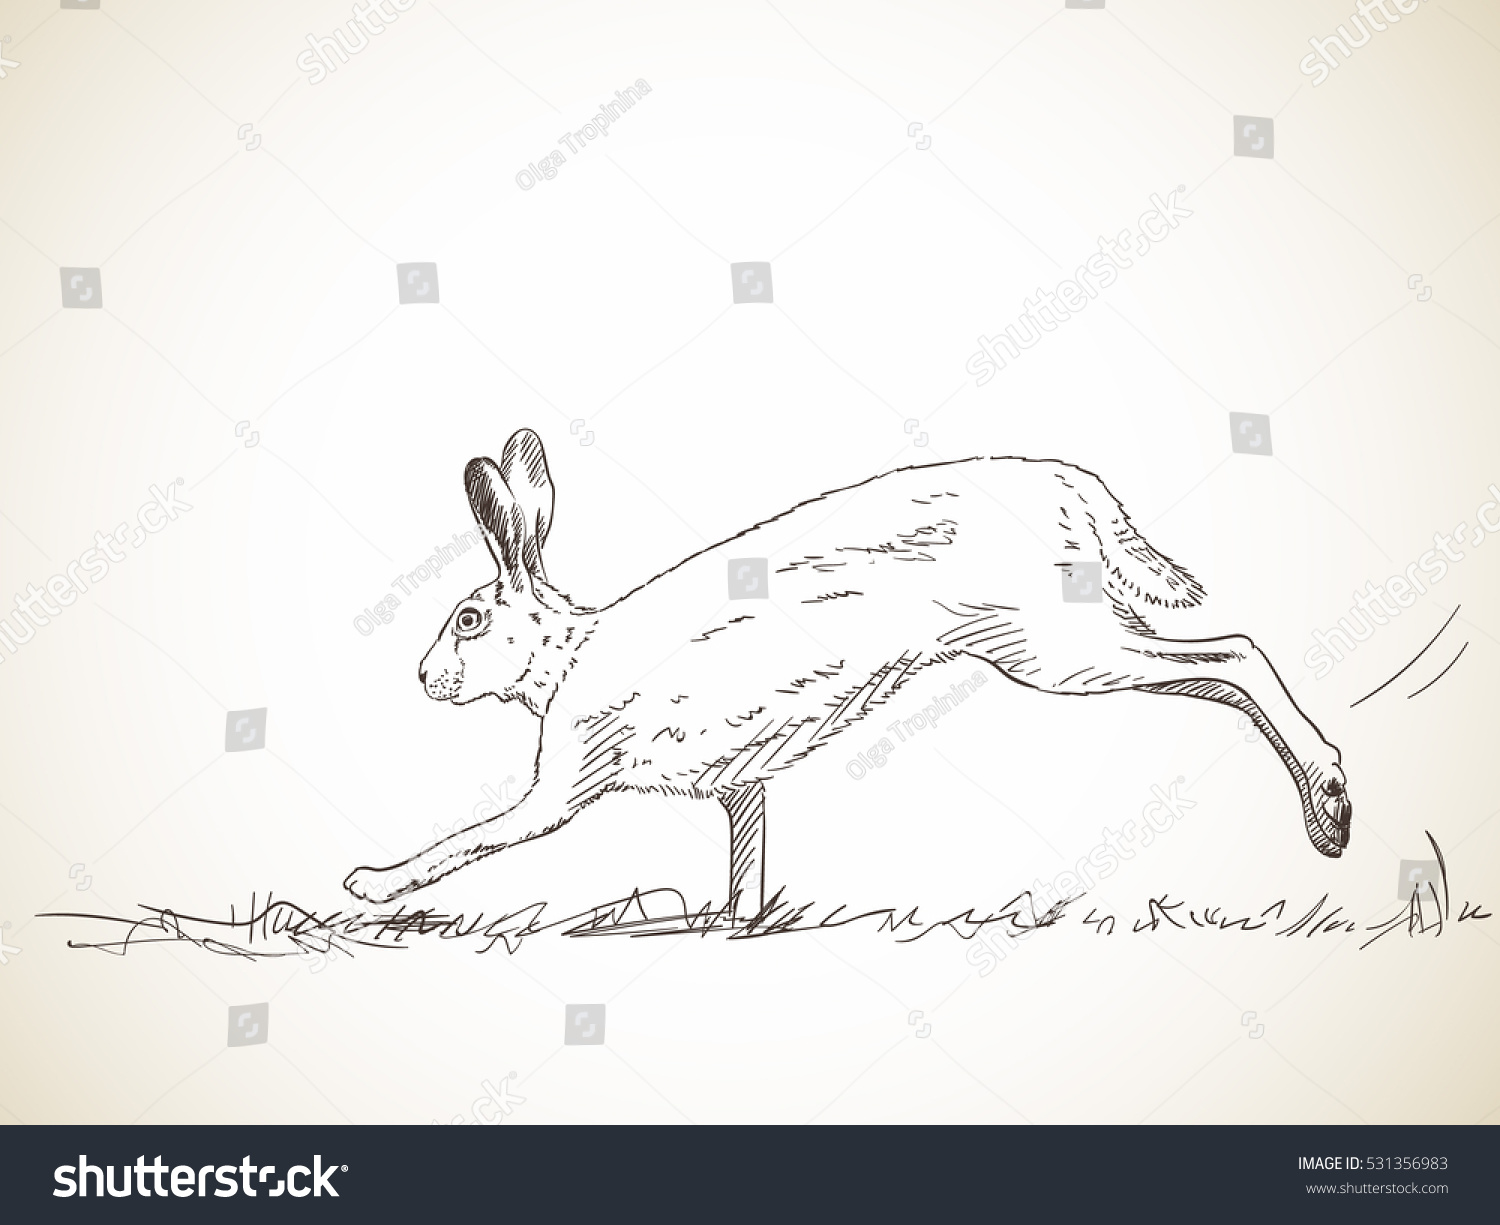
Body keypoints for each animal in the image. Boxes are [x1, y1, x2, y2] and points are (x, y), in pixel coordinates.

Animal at [343, 429, 1352, 909]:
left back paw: (1331, 809)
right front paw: (734, 925)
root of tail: (1080, 493)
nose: (423, 679)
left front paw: (371, 885)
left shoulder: (562, 787)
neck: (568, 652)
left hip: (1053, 648)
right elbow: (748, 869)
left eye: (468, 619)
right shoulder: (741, 785)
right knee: (1224, 658)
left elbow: (470, 840)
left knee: (1236, 653)